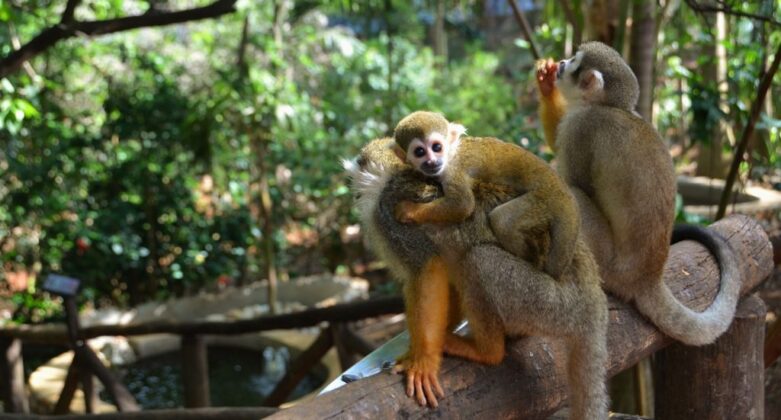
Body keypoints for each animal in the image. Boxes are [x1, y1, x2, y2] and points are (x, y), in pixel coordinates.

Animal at [345, 137, 609, 419]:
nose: (355, 194)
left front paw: (422, 360)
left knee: (478, 260)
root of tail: (594, 299)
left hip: (551, 304)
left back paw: (487, 352)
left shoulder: (391, 213)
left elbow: (427, 272)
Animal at [392, 111, 580, 279]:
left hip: (544, 199)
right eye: (420, 152)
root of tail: (564, 193)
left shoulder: (453, 170)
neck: (451, 153)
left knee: (502, 220)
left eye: (437, 147)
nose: (431, 162)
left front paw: (410, 209)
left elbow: (462, 204)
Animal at [535, 41, 741, 346]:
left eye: (573, 61)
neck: (606, 105)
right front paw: (546, 86)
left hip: (607, 260)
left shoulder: (583, 126)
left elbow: (573, 179)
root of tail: (647, 276)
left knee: (571, 194)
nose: (561, 63)